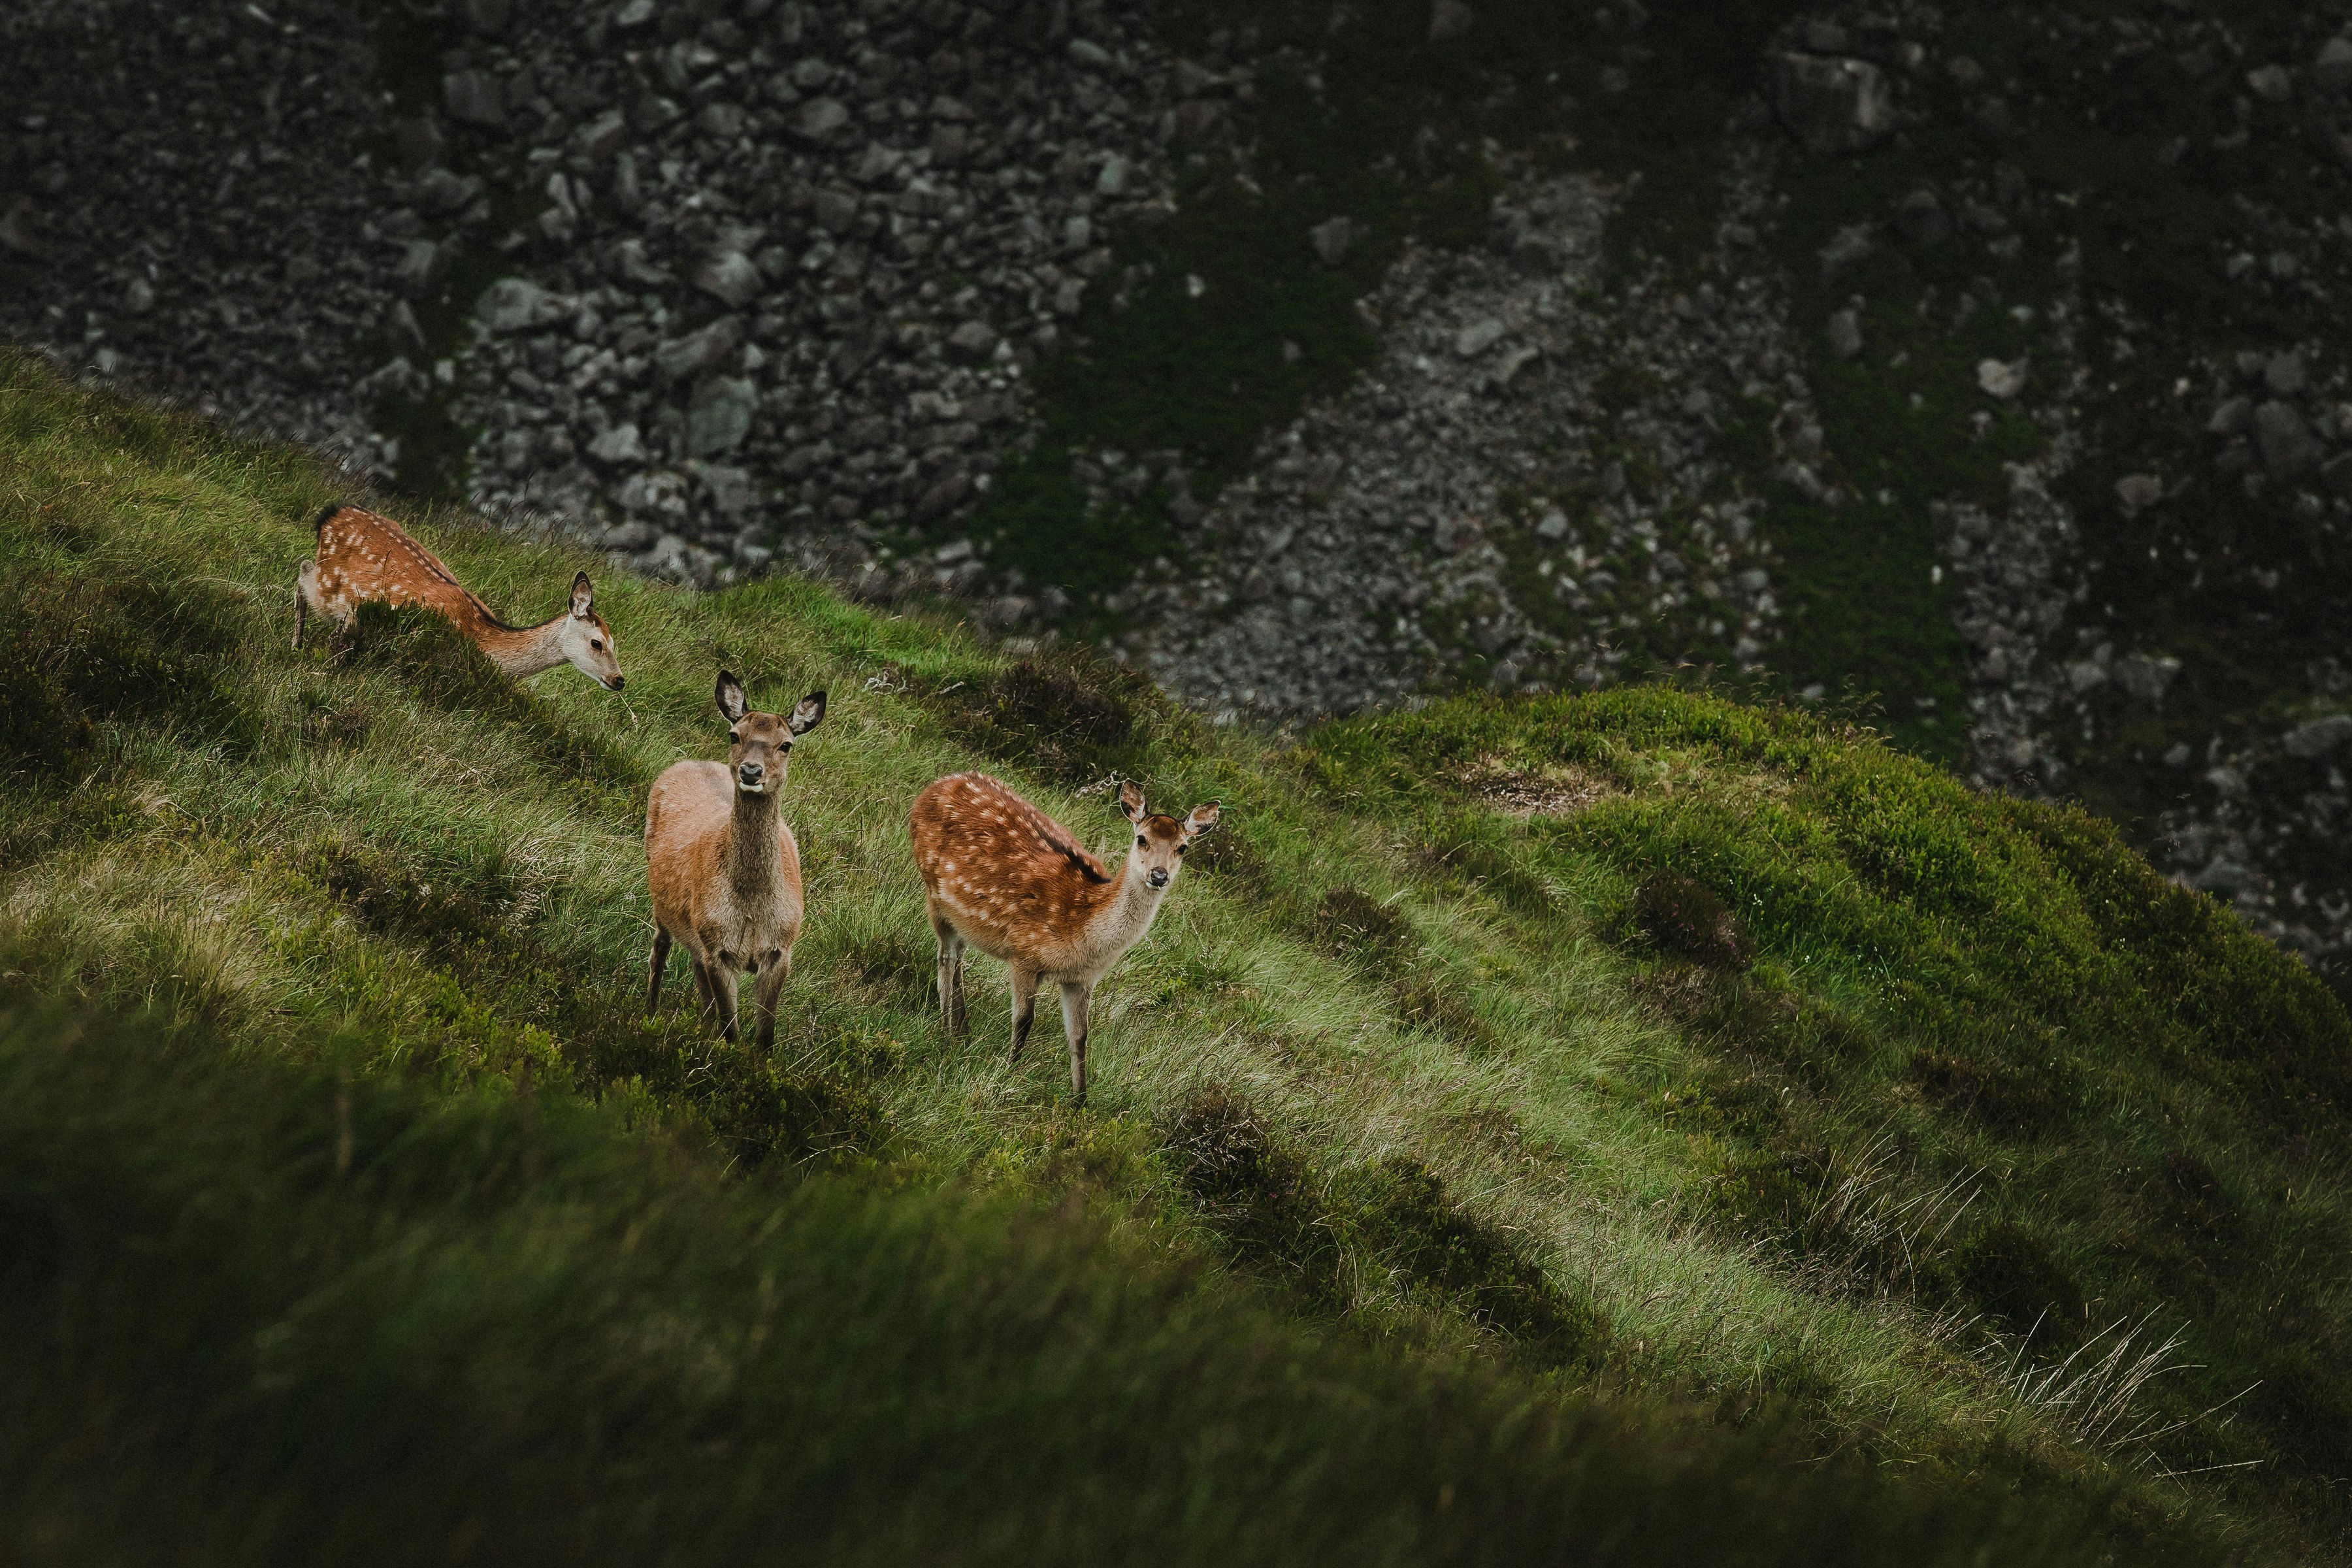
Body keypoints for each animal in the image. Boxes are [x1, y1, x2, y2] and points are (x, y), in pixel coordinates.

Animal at [294, 503, 625, 691]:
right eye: (596, 643)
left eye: (614, 643)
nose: (620, 680)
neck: (483, 641)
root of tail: (329, 515)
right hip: (331, 588)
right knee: (302, 574)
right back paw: (297, 645)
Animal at [645, 672, 827, 1050]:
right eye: (735, 734)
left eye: (786, 744)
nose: (751, 771)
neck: (753, 908)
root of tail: (687, 762)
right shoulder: (719, 949)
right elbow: (731, 1030)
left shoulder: (781, 949)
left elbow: (765, 1036)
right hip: (663, 906)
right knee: (659, 951)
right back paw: (649, 1012)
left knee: (695, 972)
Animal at [909, 773, 1219, 1108]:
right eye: (1142, 839)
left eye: (1183, 847)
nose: (1159, 875)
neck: (1080, 933)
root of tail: (935, 787)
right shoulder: (1024, 953)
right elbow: (1024, 1020)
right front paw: (1008, 1072)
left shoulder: (1083, 979)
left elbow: (1080, 1036)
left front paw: (1080, 1102)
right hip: (934, 894)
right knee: (946, 958)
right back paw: (946, 1031)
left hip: (962, 918)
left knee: (959, 959)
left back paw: (963, 1028)